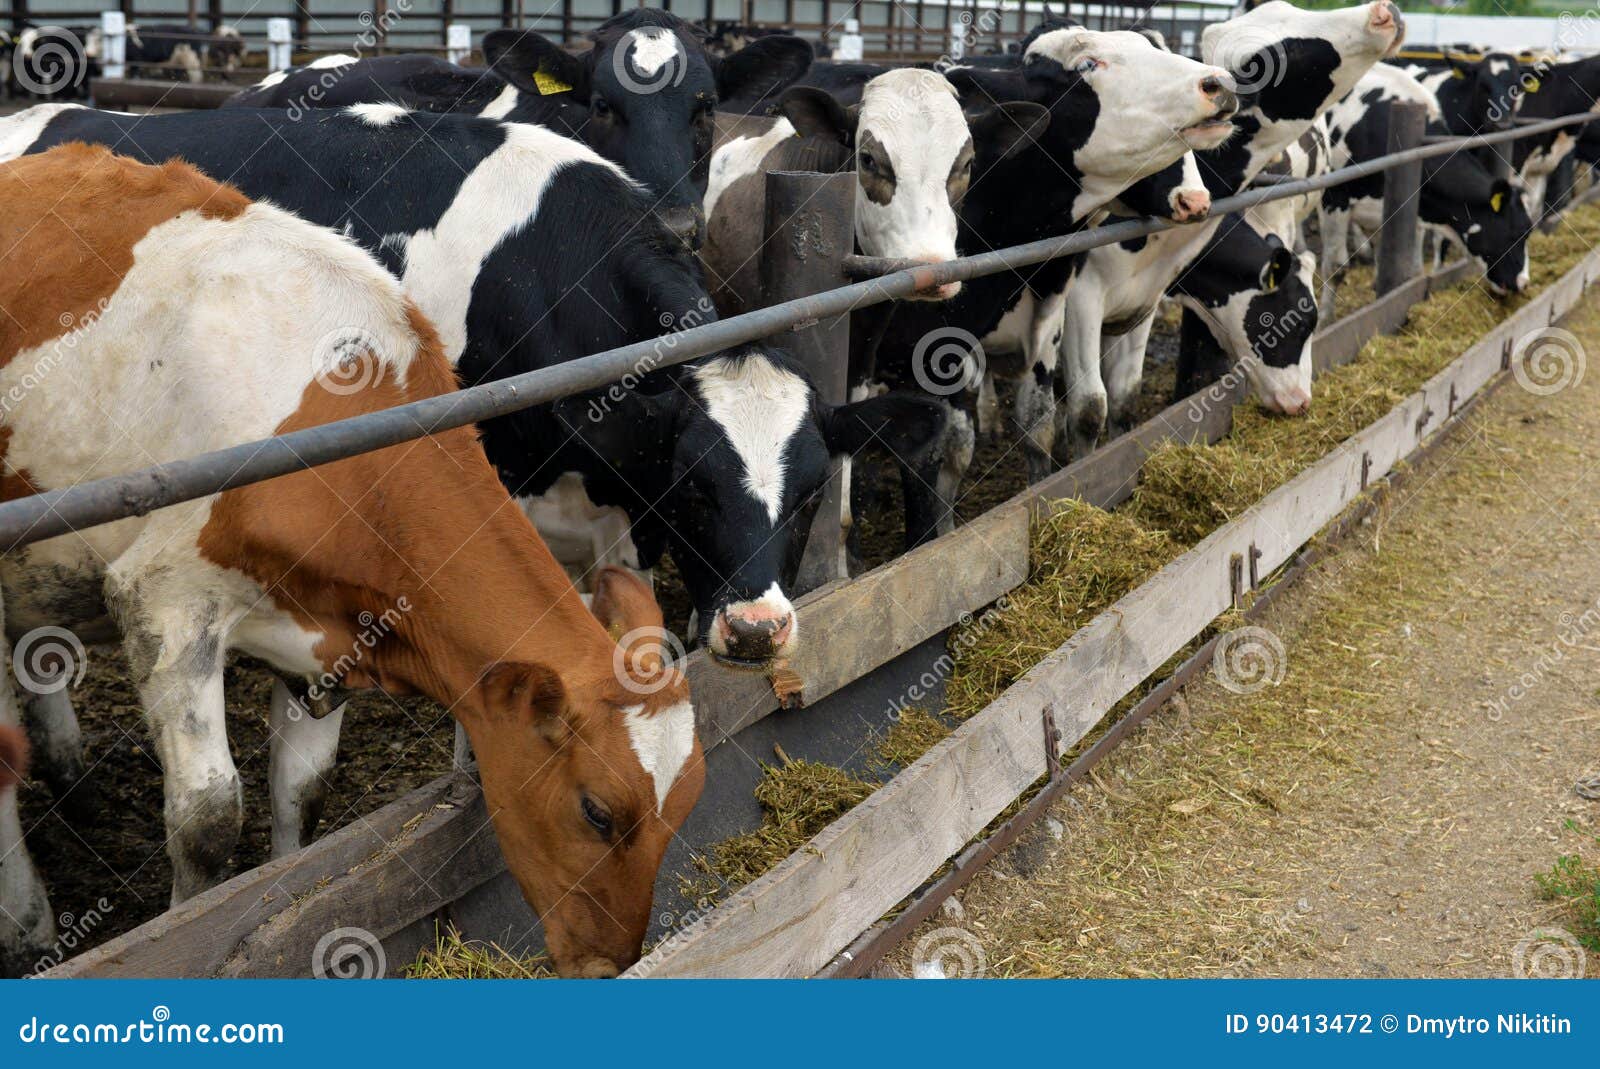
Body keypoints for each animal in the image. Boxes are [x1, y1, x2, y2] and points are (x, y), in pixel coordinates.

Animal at [0, 143, 706, 978]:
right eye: (597, 810)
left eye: (683, 808)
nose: (611, 962)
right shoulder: (162, 598)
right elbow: (207, 820)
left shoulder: (328, 633)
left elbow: (303, 793)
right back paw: (30, 923)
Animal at [1057, 0, 1404, 460]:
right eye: (1263, 58)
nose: (1384, 10)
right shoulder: (1081, 293)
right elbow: (1087, 406)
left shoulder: (1142, 296)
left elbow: (1128, 392)